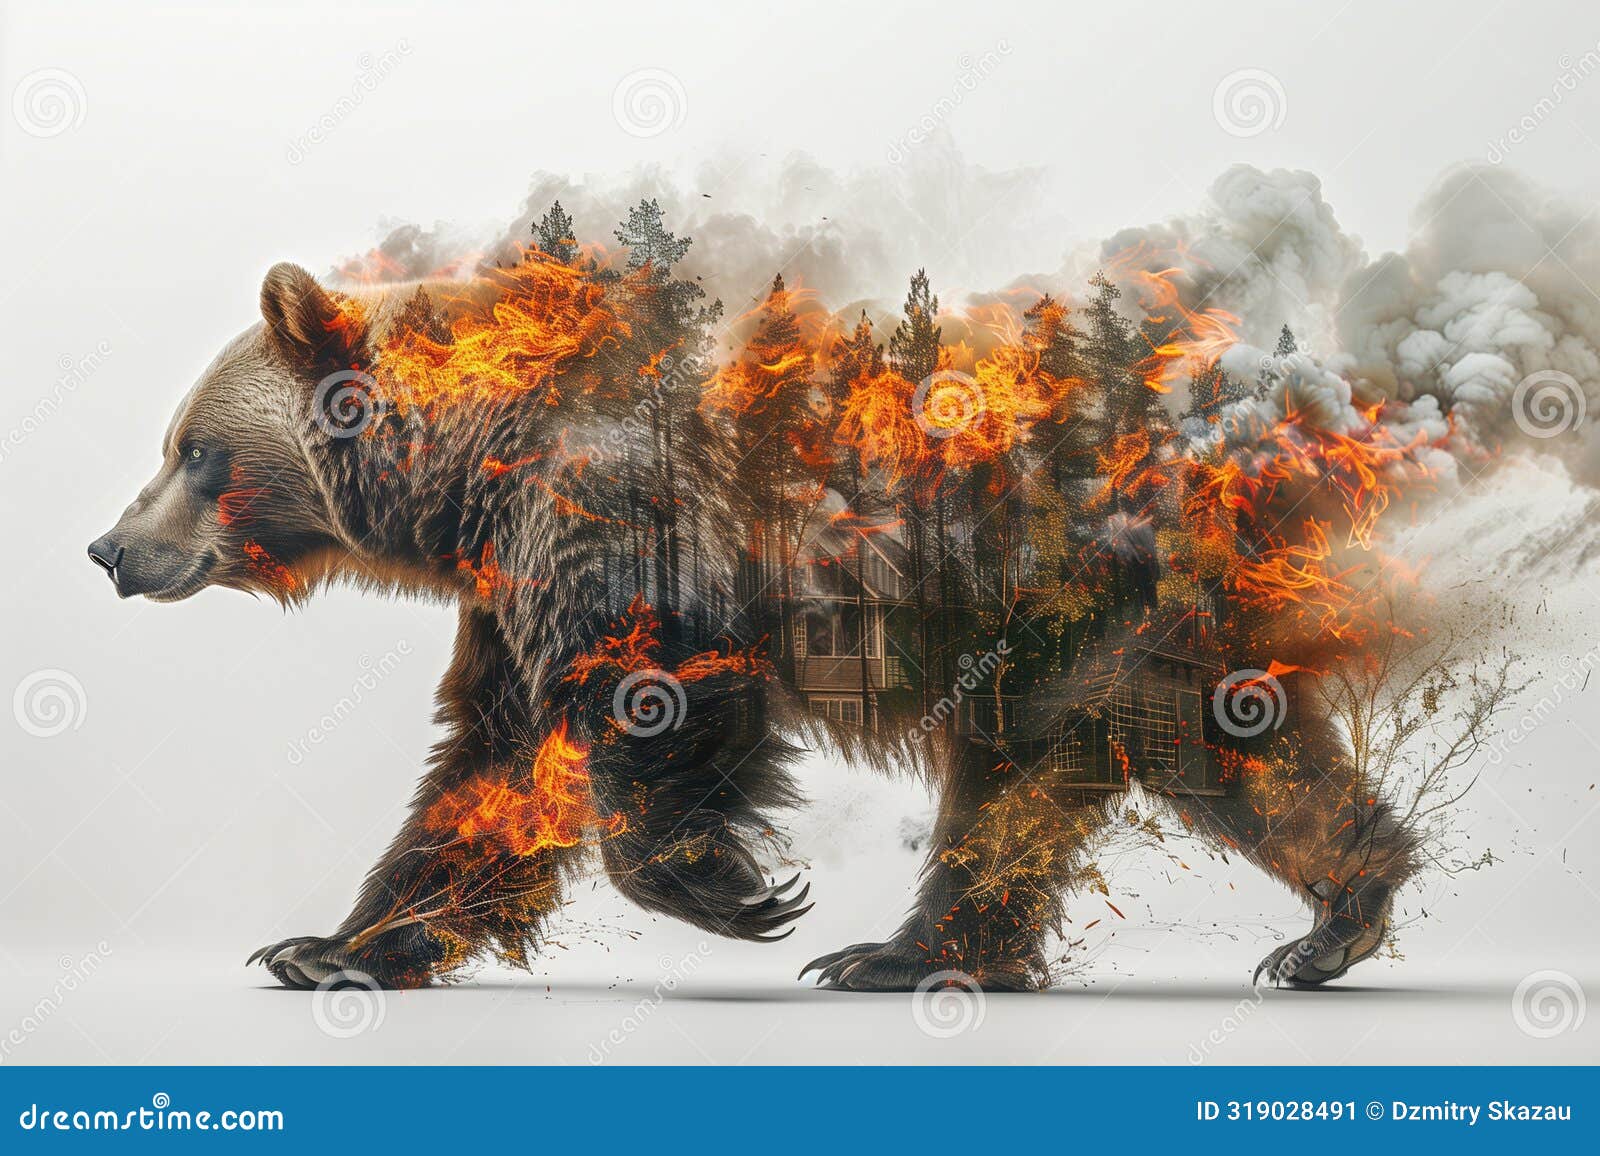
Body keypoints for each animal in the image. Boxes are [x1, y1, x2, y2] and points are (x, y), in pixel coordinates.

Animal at [88, 235, 1421, 993]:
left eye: (194, 450)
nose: (111, 549)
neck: (472, 468)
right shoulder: (505, 586)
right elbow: (487, 766)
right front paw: (330, 945)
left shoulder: (619, 517)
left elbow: (652, 701)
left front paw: (731, 887)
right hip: (1067, 650)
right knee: (1118, 770)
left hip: (1075, 609)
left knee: (1168, 756)